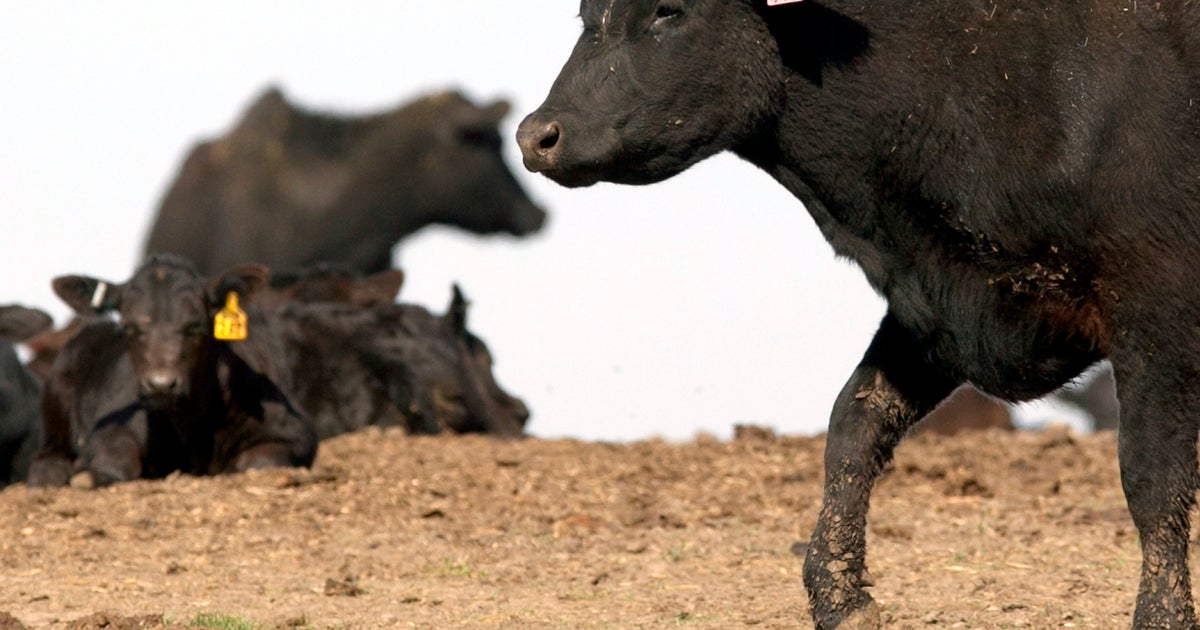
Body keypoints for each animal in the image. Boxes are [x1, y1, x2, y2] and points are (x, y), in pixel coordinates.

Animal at [28, 255, 316, 488]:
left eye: (195, 326)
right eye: (130, 327)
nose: (161, 385)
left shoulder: (294, 434)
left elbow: (257, 462)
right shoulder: (108, 430)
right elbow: (118, 464)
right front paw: (85, 475)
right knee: (47, 456)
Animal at [515, 2, 1200, 627]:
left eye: (667, 11)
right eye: (586, 15)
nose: (535, 136)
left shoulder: (1156, 303)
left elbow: (1151, 472)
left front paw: (1162, 613)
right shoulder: (932, 309)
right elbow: (855, 424)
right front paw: (839, 594)